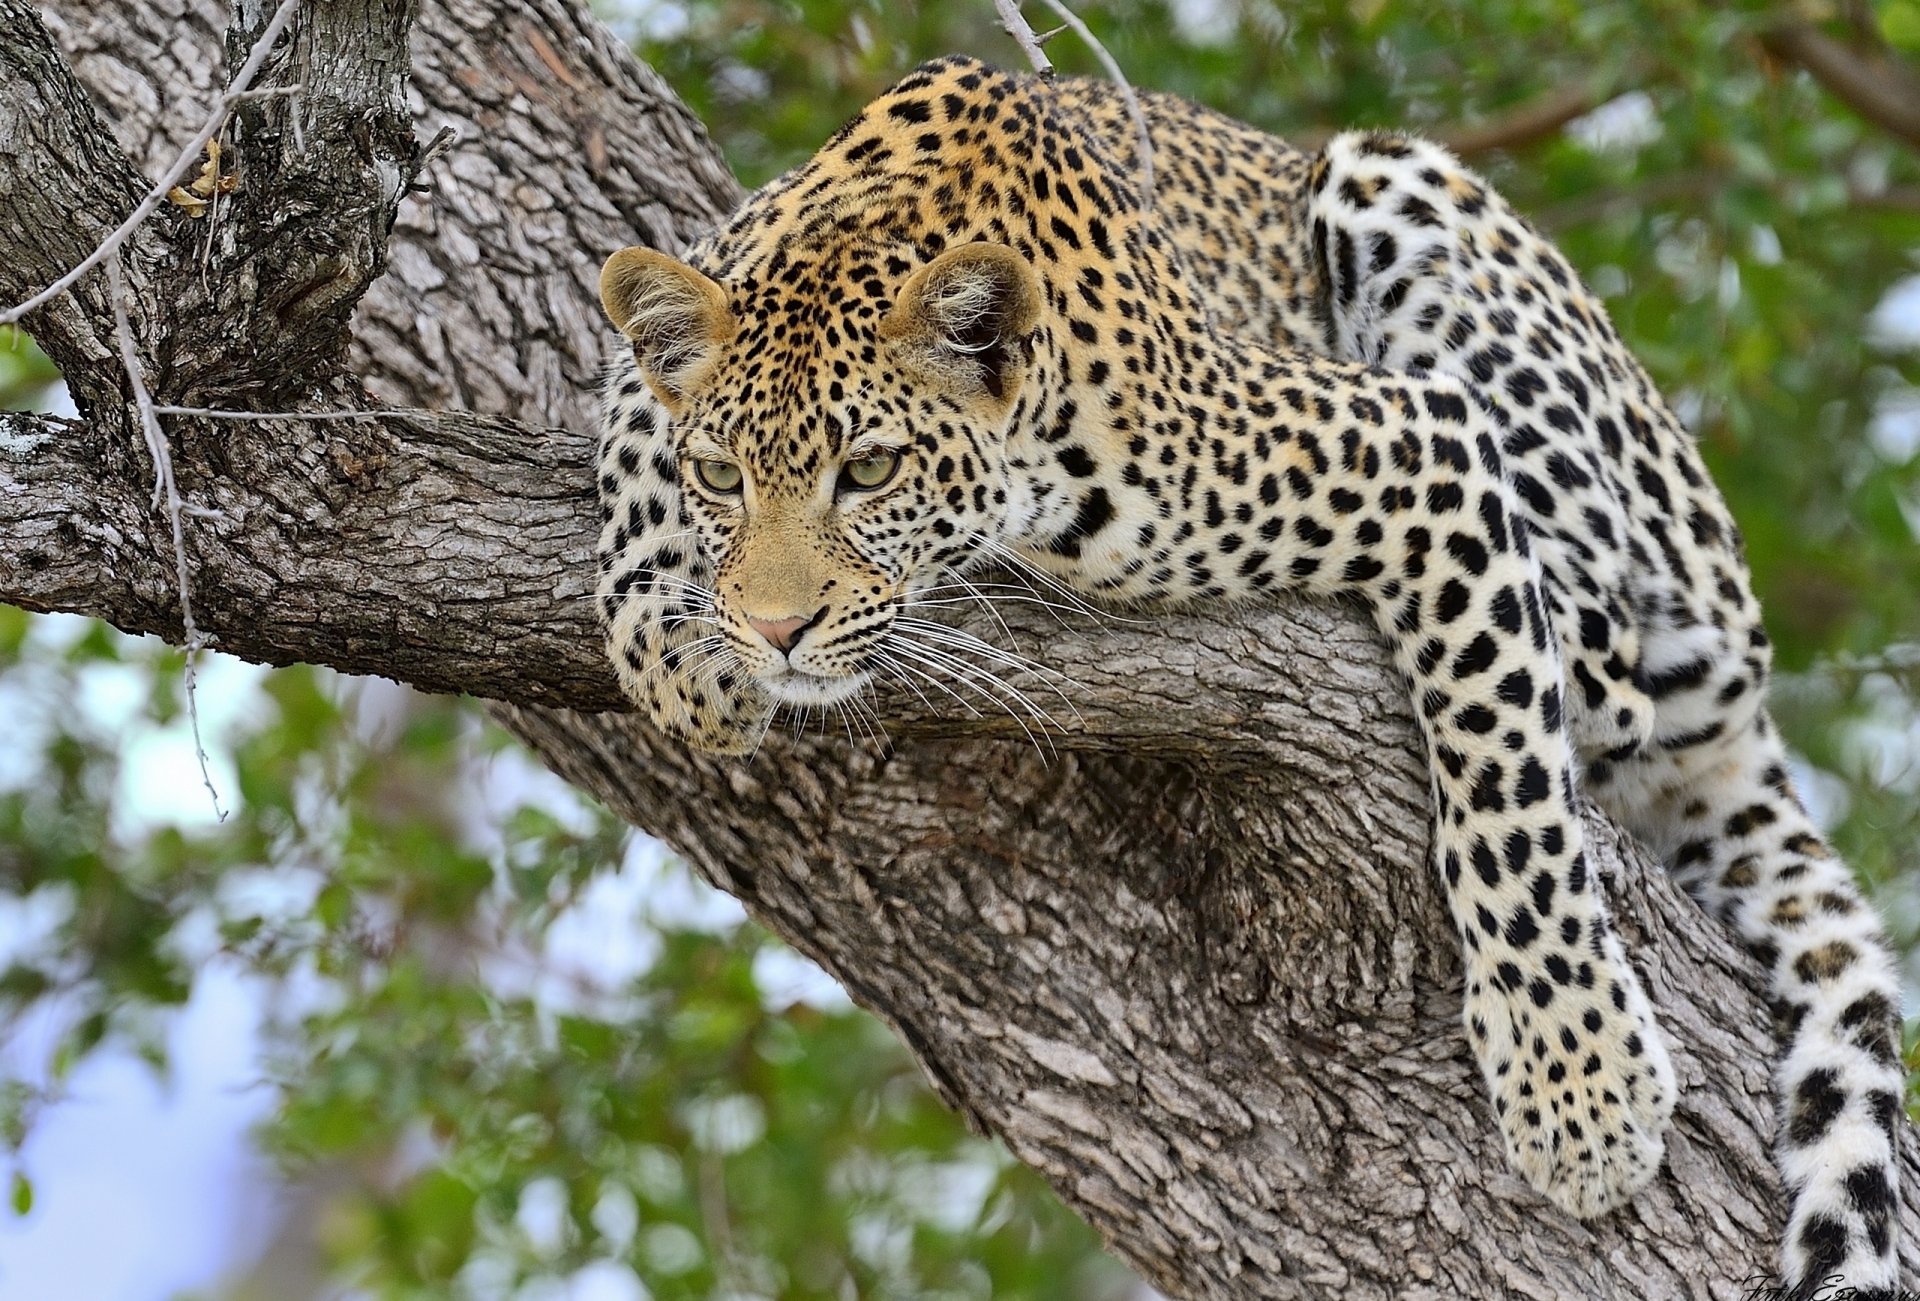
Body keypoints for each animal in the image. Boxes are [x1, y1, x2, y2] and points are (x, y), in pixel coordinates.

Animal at [592, 55, 1904, 1296]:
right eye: (723, 475)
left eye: (868, 470)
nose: (775, 630)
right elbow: (628, 433)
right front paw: (673, 639)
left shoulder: (1420, 445)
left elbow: (1510, 791)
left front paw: (1577, 1079)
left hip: (1412, 208)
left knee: (1610, 663)